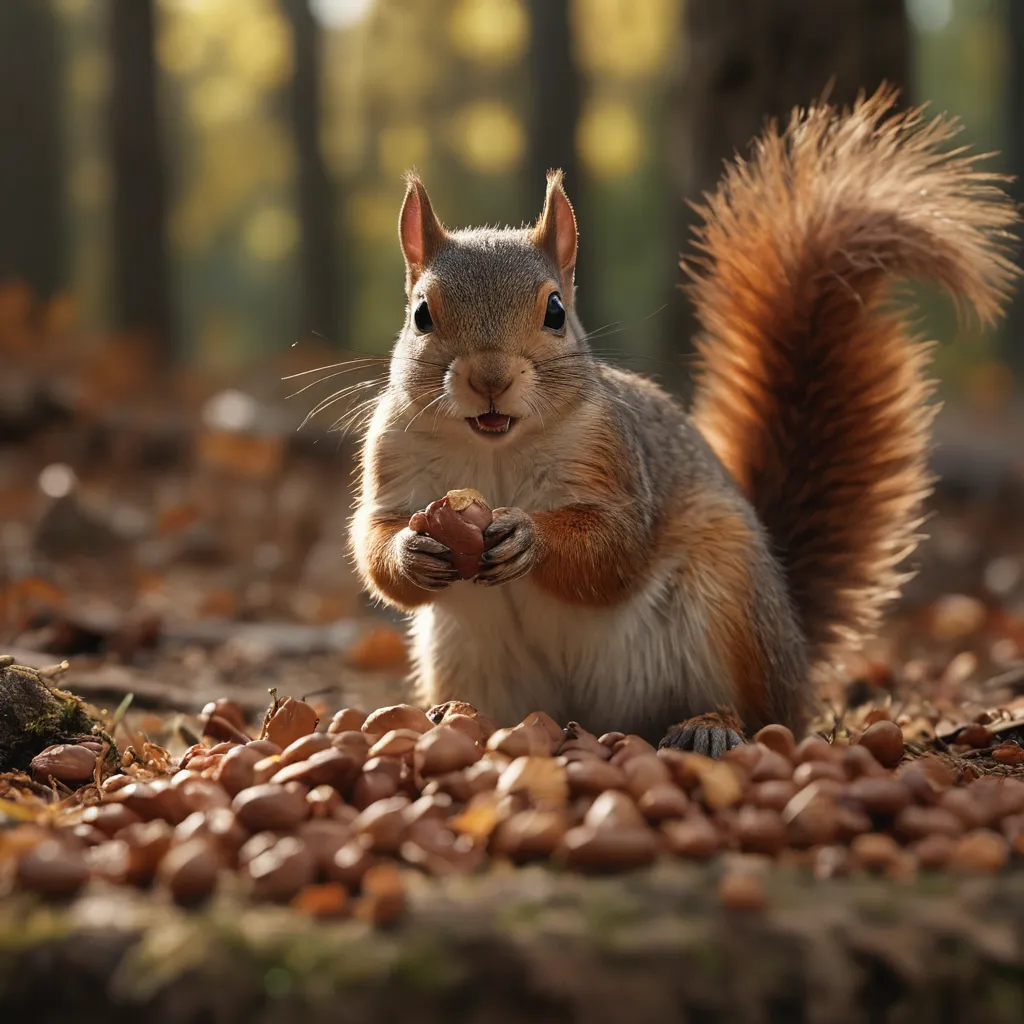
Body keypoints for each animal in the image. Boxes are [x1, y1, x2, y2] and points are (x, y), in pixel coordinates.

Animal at [350, 87, 1019, 756]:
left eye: (556, 311)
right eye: (421, 314)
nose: (489, 379)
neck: (495, 450)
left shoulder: (613, 460)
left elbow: (615, 547)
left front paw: (529, 535)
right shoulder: (394, 460)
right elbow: (374, 544)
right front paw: (412, 549)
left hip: (728, 597)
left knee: (764, 712)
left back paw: (711, 725)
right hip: (462, 652)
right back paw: (455, 718)